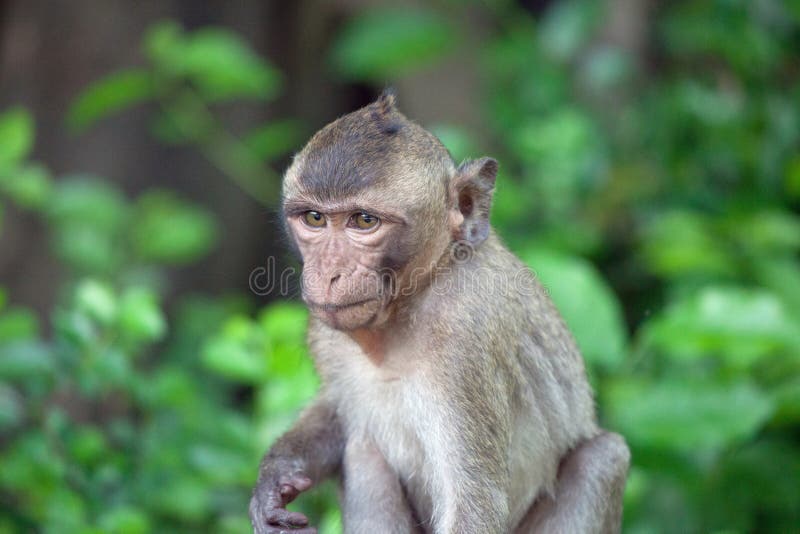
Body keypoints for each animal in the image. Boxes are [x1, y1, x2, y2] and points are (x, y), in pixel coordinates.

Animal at [249, 91, 630, 534]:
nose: (327, 273)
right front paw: (275, 476)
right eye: (314, 218)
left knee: (603, 457)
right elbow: (338, 415)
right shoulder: (325, 331)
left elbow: (474, 506)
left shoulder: (465, 341)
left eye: (364, 220)